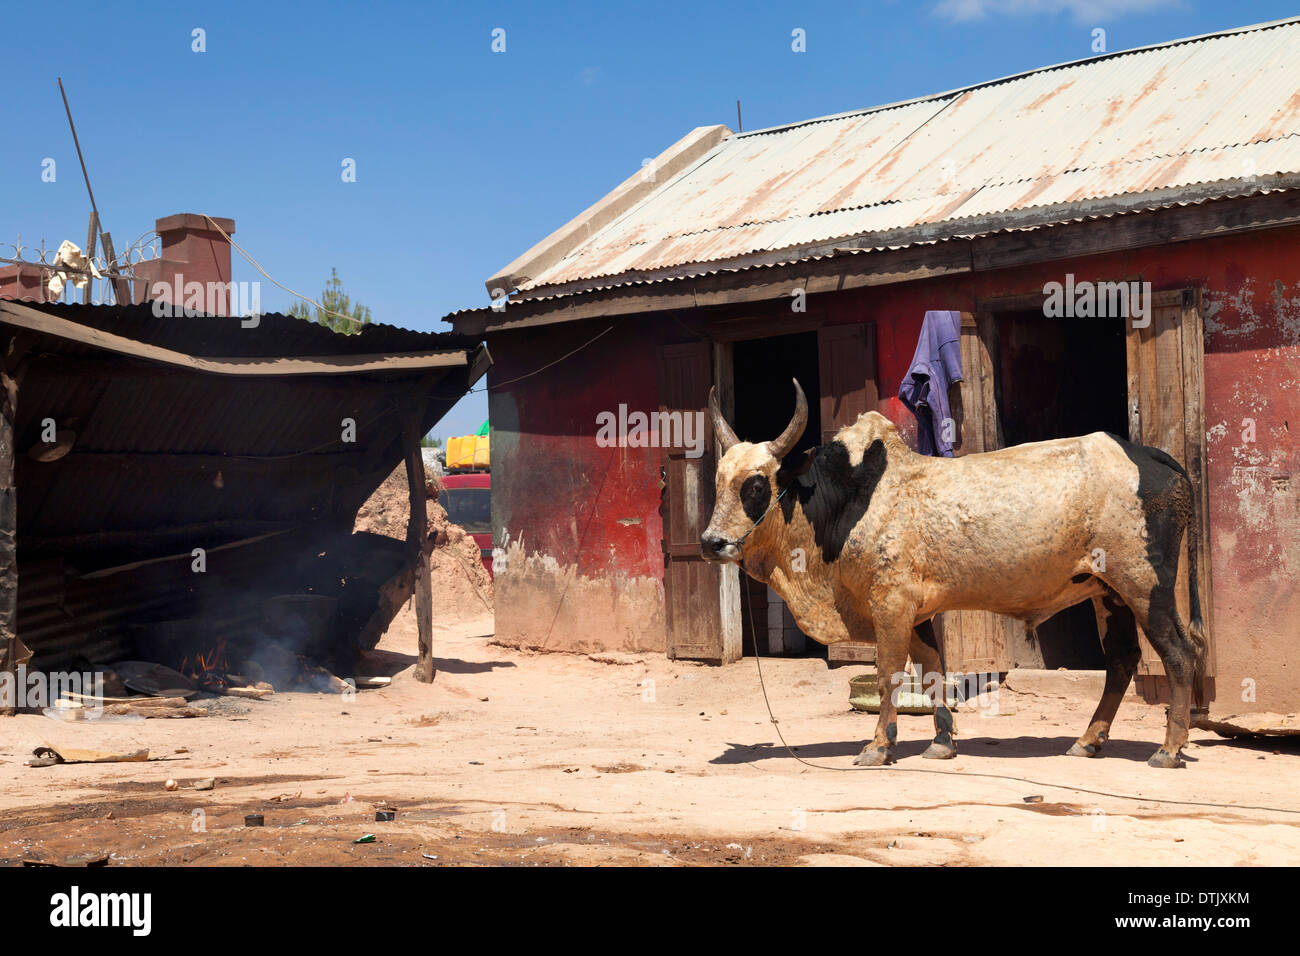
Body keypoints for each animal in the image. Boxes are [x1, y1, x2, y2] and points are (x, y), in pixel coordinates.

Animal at [701, 379, 1209, 769]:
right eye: (718, 483)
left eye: (756, 485)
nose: (711, 543)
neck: (850, 500)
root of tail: (1151, 457)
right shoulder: (917, 612)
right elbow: (931, 671)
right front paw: (942, 742)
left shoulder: (890, 605)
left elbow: (888, 674)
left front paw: (878, 747)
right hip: (1109, 592)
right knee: (1122, 660)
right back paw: (1087, 741)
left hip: (1145, 587)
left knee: (1179, 653)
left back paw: (1169, 749)